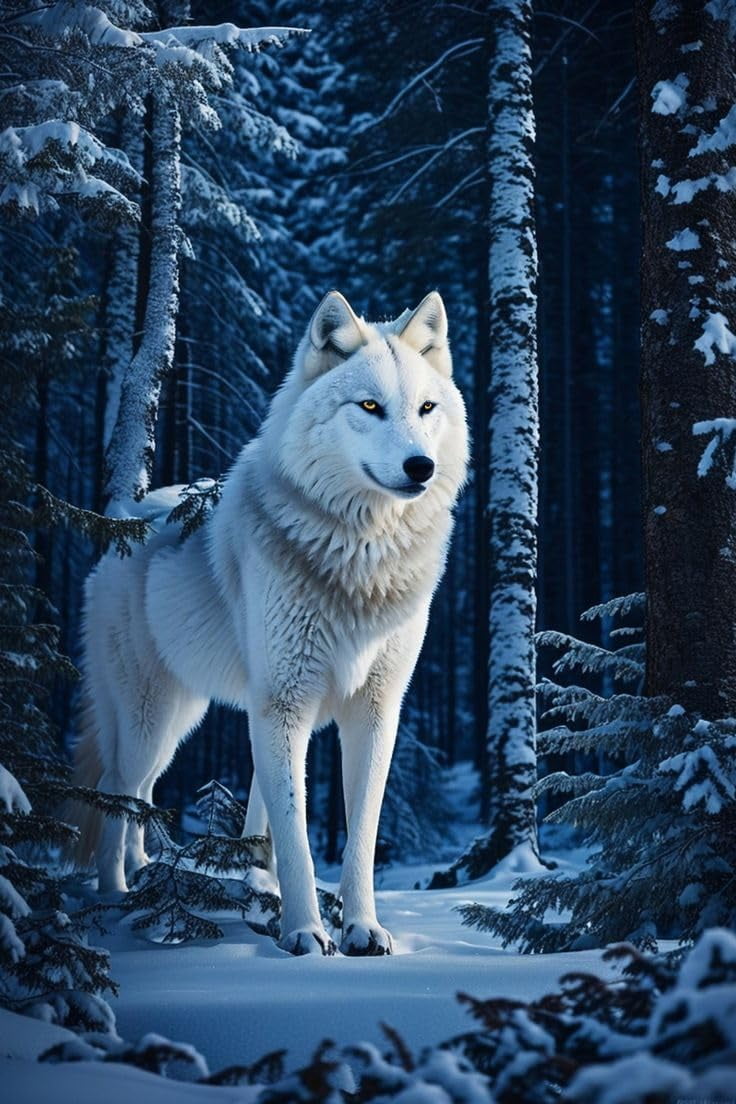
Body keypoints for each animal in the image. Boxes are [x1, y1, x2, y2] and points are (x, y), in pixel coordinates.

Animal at [72, 290, 469, 956]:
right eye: (370, 406)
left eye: (426, 408)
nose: (422, 467)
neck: (362, 561)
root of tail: (125, 518)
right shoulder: (282, 705)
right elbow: (296, 836)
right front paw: (305, 933)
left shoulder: (373, 710)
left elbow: (358, 835)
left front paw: (363, 929)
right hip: (148, 718)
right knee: (118, 794)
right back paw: (116, 898)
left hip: (183, 721)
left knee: (147, 797)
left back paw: (154, 876)